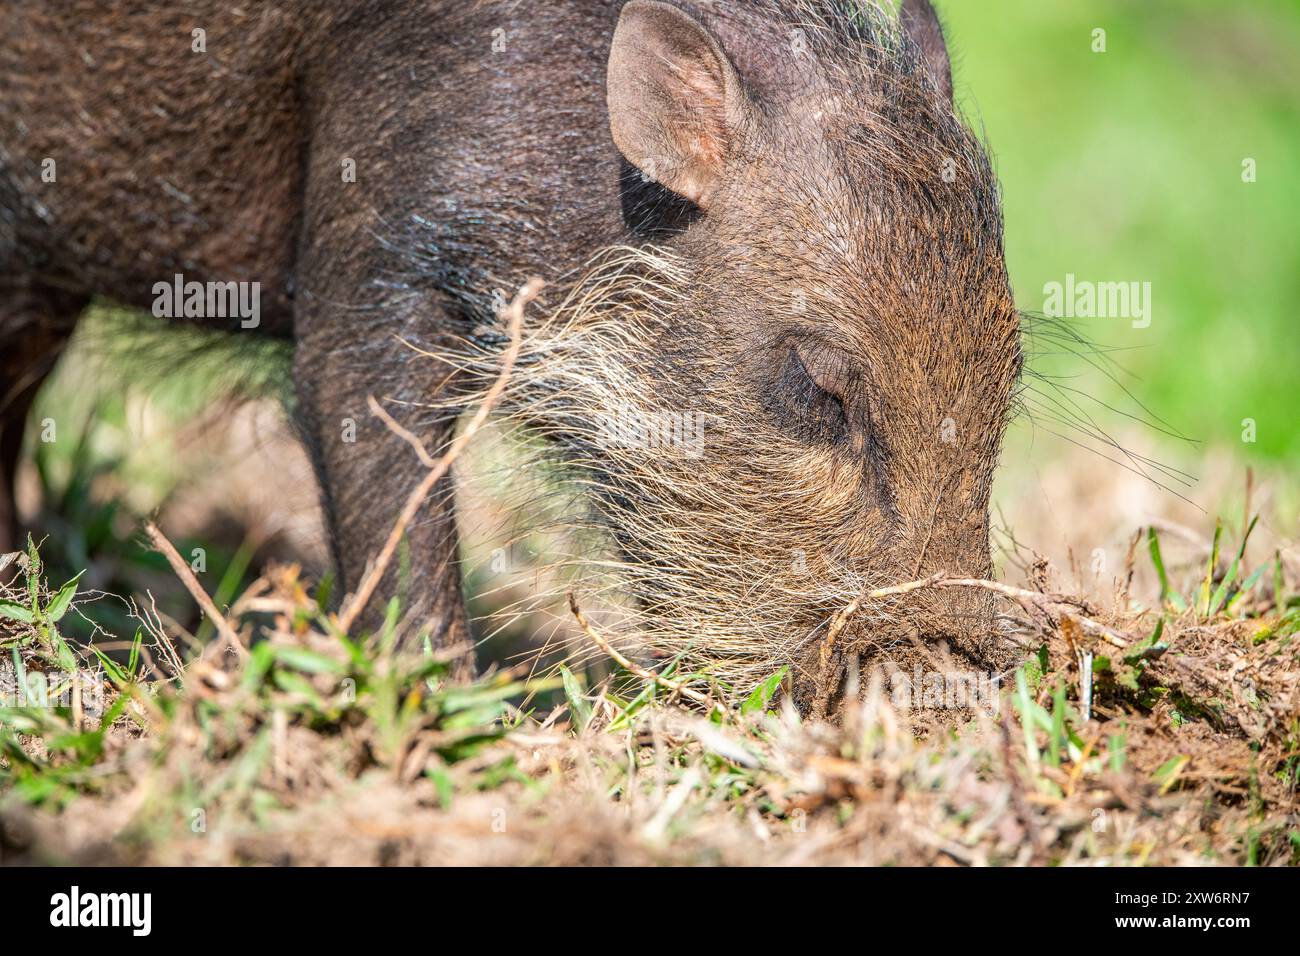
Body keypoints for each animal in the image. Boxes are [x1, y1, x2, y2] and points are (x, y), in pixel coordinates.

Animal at [0, 0, 1021, 701]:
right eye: (816, 390)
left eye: (1009, 383)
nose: (949, 698)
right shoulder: (367, 267)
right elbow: (394, 502)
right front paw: (440, 702)